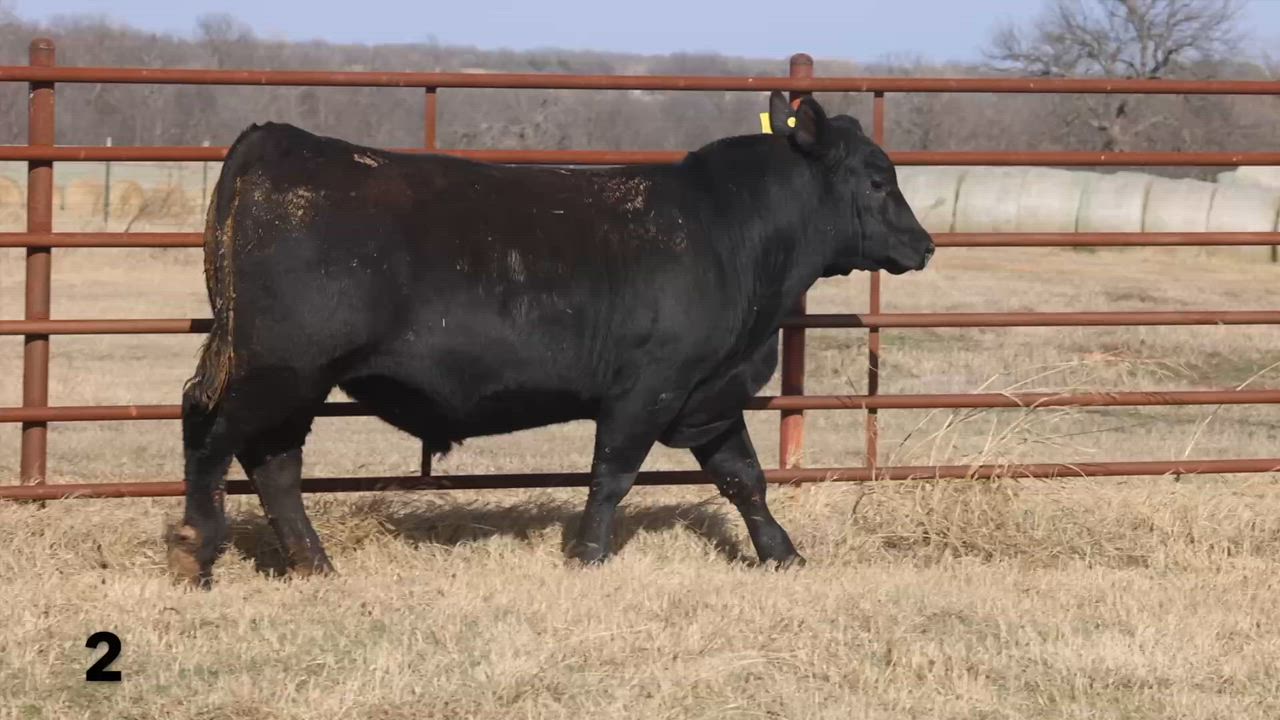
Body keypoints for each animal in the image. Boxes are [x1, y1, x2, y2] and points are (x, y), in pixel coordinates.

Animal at [166, 90, 935, 587]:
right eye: (877, 178)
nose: (924, 244)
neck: (730, 234)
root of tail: (279, 139)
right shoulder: (646, 390)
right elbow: (612, 475)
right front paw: (588, 557)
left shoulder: (707, 395)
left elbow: (744, 477)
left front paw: (782, 554)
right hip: (276, 365)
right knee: (210, 428)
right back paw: (195, 550)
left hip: (295, 377)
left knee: (274, 461)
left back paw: (315, 565)